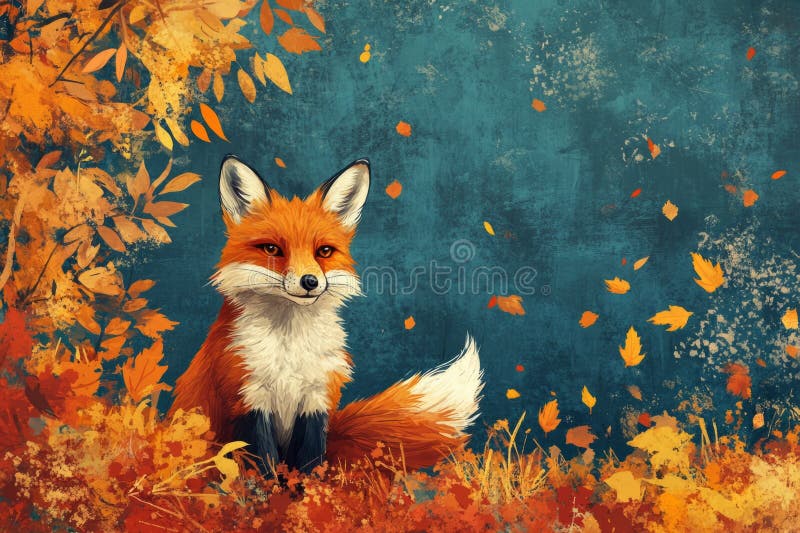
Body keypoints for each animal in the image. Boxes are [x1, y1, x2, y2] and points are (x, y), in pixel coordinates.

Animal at [170, 155, 484, 474]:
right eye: (272, 249)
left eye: (323, 251)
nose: (310, 281)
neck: (290, 346)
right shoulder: (247, 398)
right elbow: (264, 469)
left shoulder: (317, 399)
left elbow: (309, 466)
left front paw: (308, 489)